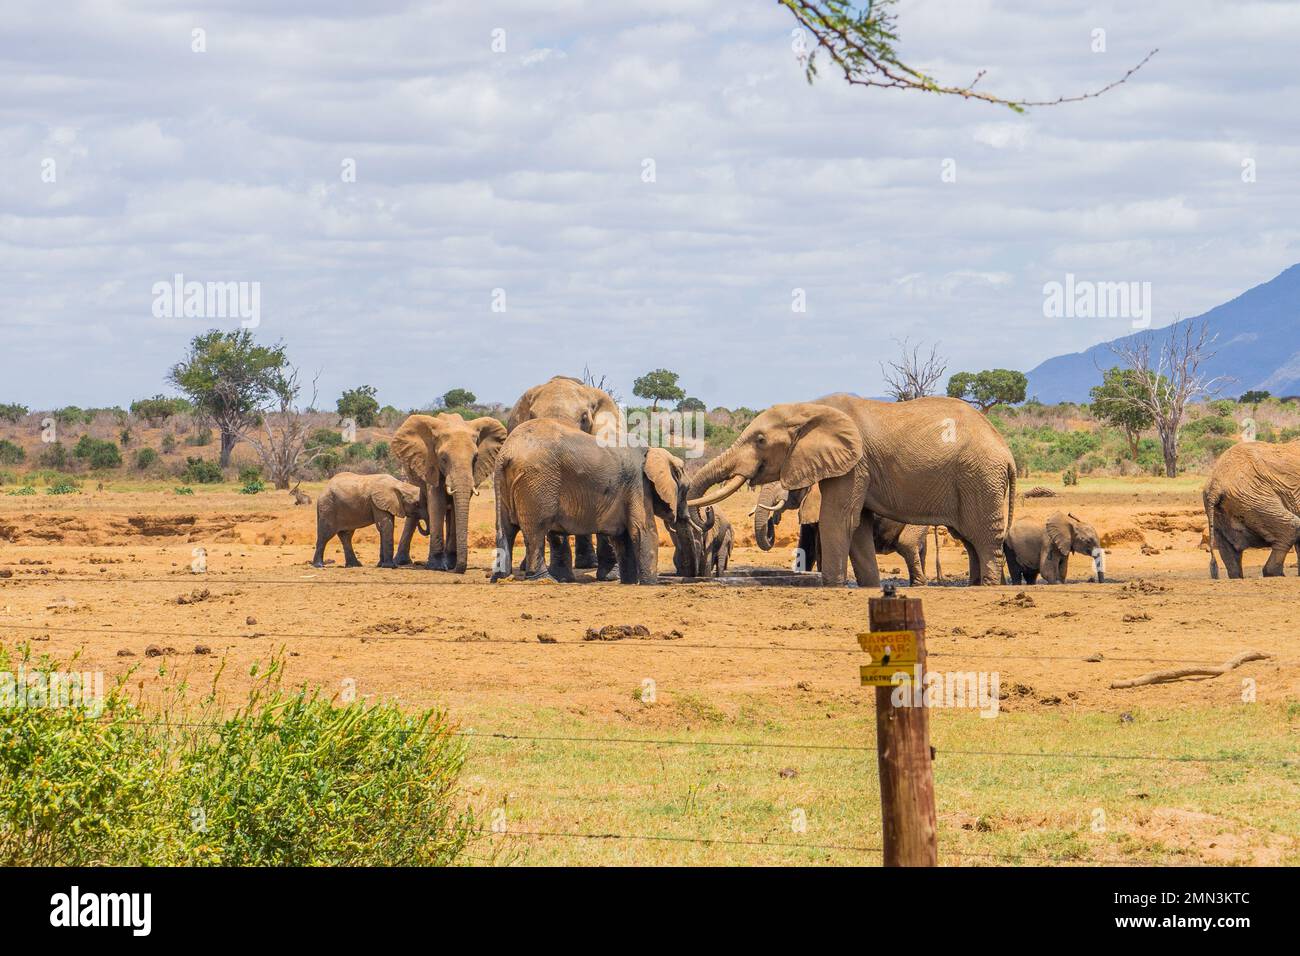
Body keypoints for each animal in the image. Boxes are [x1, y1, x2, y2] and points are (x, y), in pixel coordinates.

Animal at [391, 413, 508, 573]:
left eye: (475, 458)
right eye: (443, 458)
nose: (458, 569)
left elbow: (456, 506)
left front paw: (450, 563)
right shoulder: (430, 463)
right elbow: (437, 503)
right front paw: (436, 566)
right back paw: (402, 562)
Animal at [491, 419, 687, 584]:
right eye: (686, 489)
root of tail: (507, 452)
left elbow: (622, 537)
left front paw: (630, 582)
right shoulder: (639, 484)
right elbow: (643, 530)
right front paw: (650, 584)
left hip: (507, 484)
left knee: (507, 529)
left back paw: (501, 578)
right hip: (537, 481)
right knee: (536, 530)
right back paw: (544, 580)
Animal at [1204, 440, 1300, 578]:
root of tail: (1215, 486)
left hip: (1223, 510)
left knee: (1227, 550)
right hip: (1255, 498)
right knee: (1292, 527)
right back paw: (1276, 574)